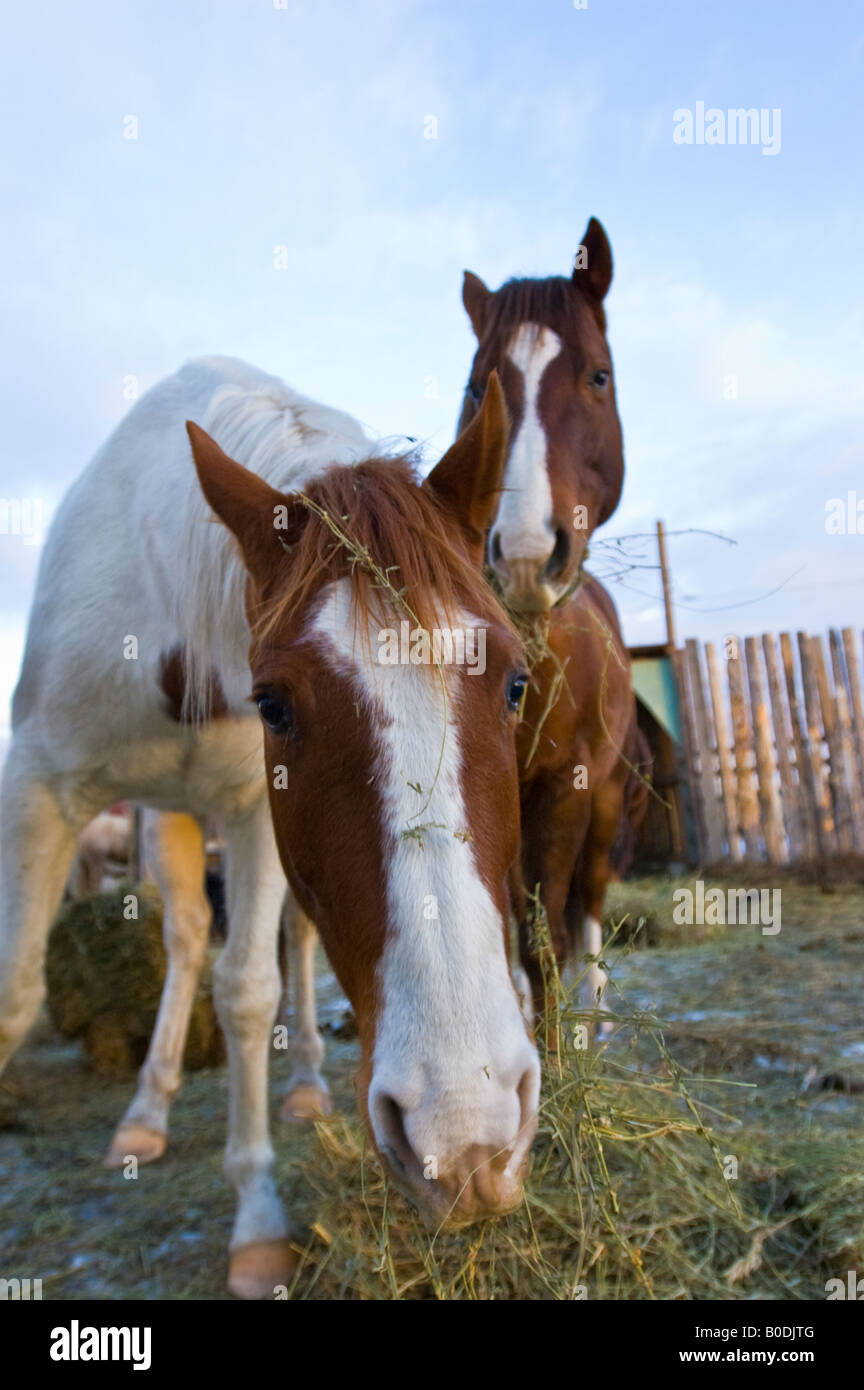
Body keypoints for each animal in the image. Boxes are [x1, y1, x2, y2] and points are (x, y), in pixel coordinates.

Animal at [0, 356, 540, 1298]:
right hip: (163, 816)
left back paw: (303, 1084)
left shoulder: (256, 812)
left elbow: (249, 991)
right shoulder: (36, 786)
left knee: (285, 946)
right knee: (184, 938)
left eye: (514, 684)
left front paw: (256, 1221)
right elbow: (14, 997)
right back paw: (146, 1109)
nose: (465, 1136)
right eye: (275, 705)